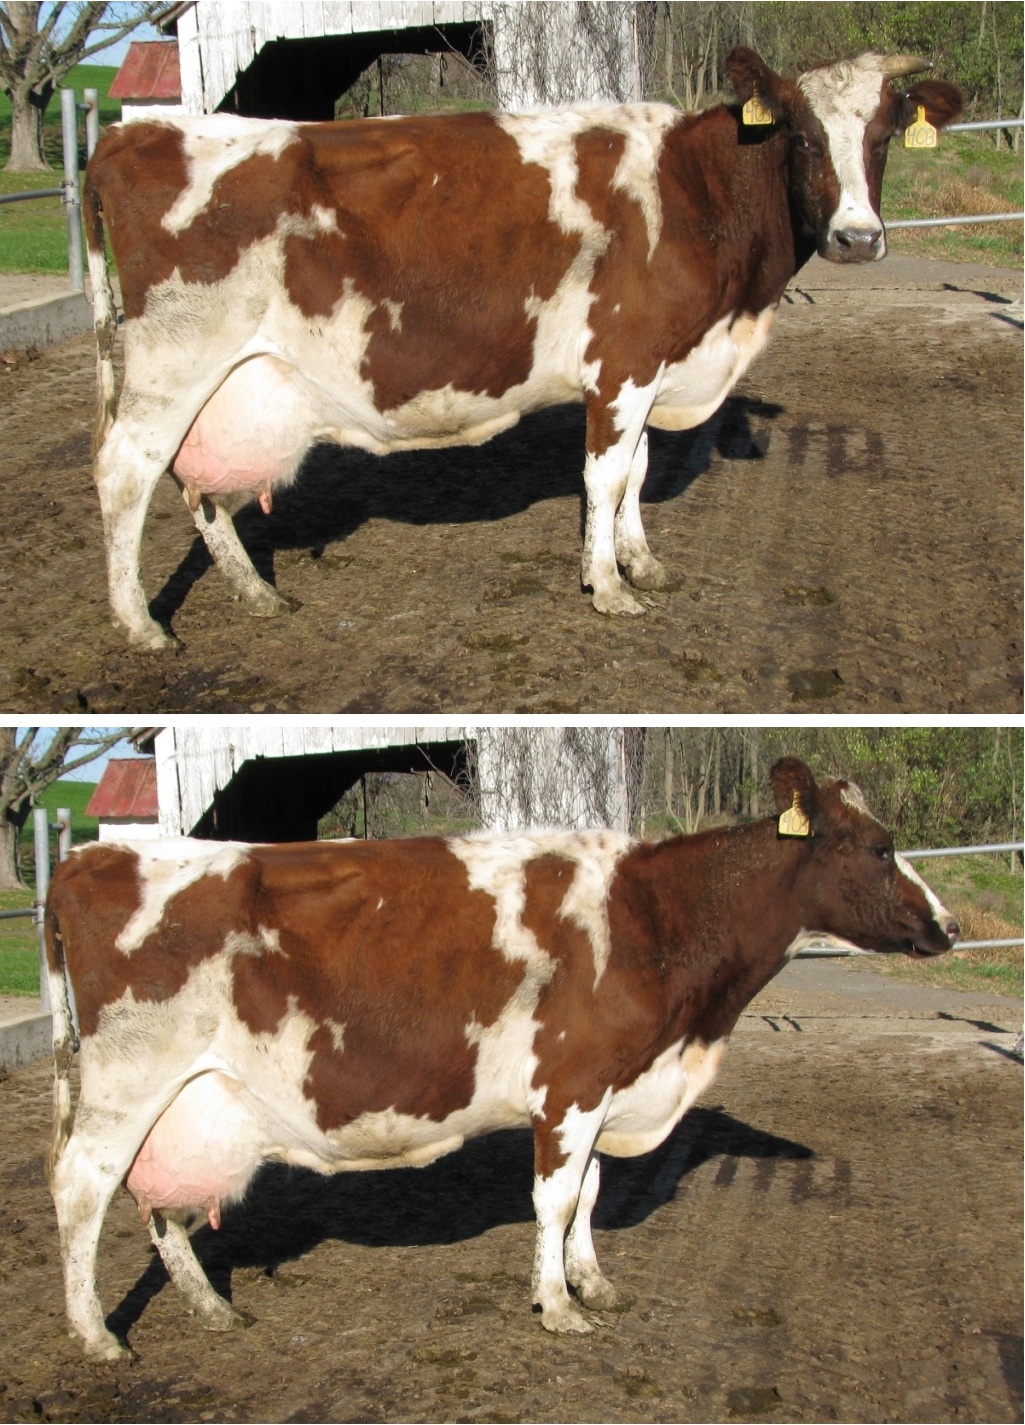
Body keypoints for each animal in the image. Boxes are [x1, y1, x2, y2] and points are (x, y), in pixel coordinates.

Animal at [45, 757, 959, 1362]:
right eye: (878, 848)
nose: (948, 925)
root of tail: (91, 855)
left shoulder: (603, 1085)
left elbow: (588, 1190)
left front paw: (591, 1281)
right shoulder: (573, 1080)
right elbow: (555, 1198)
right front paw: (556, 1303)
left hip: (182, 1101)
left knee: (156, 1202)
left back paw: (208, 1307)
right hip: (128, 1081)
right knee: (83, 1187)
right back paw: (95, 1335)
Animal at [83, 51, 961, 650]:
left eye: (882, 136)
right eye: (803, 137)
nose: (856, 237)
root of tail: (133, 131)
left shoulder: (648, 366)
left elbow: (636, 468)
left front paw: (640, 560)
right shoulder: (625, 357)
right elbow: (605, 475)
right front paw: (606, 585)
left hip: (226, 384)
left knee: (196, 486)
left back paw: (253, 593)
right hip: (173, 364)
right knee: (126, 472)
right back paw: (139, 624)